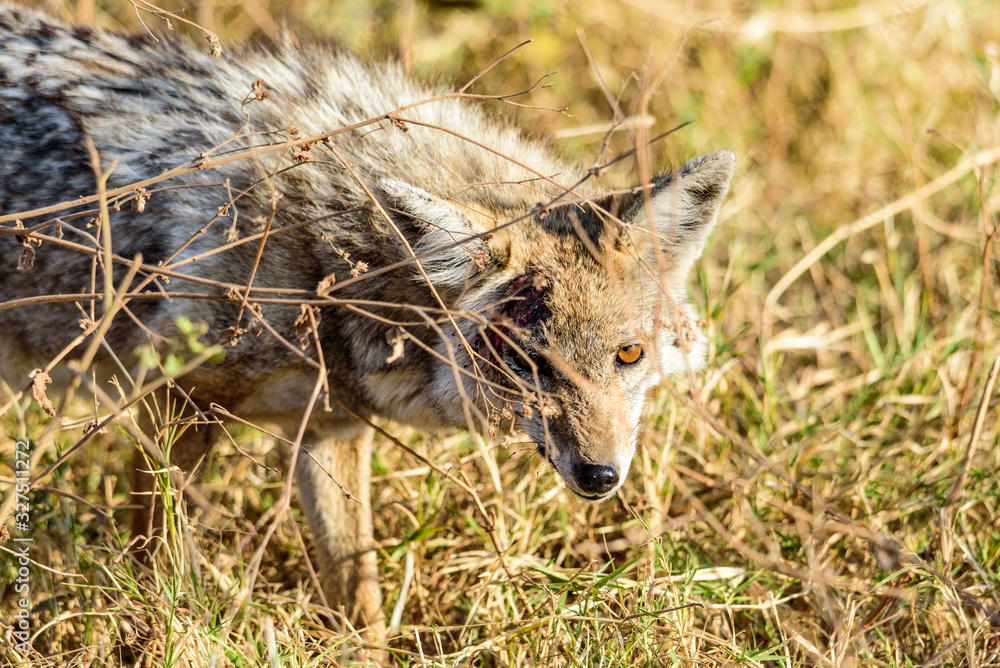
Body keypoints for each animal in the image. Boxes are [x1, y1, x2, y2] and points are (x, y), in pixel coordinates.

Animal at [0, 3, 734, 639]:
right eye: (528, 363)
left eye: (628, 356)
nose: (600, 477)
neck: (335, 252)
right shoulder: (171, 406)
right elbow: (159, 572)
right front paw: (161, 637)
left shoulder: (330, 432)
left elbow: (361, 599)